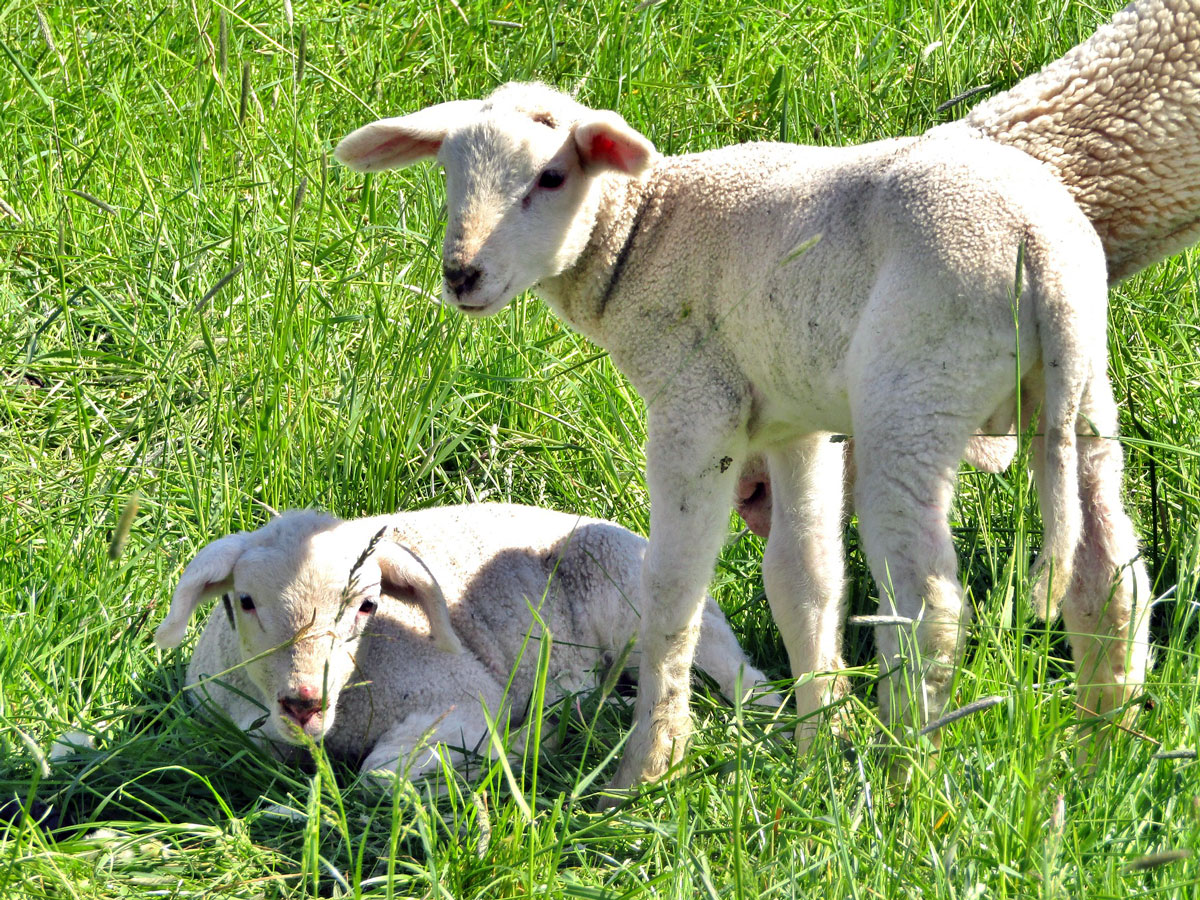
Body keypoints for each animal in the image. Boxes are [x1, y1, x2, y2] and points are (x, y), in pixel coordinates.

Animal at [154, 504, 775, 783]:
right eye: (244, 601)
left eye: (368, 606)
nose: (304, 702)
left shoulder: (464, 696)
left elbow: (381, 773)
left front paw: (521, 747)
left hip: (641, 590)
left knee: (737, 674)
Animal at [333, 70, 1152, 796]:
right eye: (448, 175)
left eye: (552, 176)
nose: (462, 275)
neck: (640, 235)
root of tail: (1041, 251)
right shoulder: (794, 423)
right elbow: (804, 581)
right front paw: (820, 739)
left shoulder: (697, 405)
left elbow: (672, 588)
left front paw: (649, 768)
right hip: (1079, 388)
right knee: (1108, 570)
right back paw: (1102, 749)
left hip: (916, 388)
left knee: (928, 604)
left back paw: (903, 775)